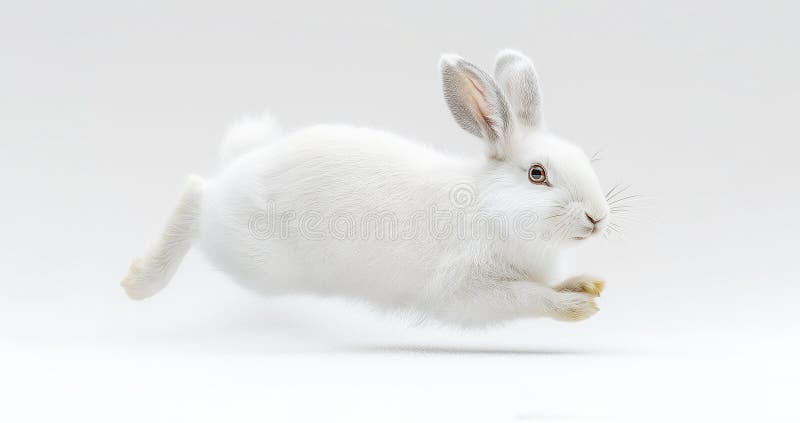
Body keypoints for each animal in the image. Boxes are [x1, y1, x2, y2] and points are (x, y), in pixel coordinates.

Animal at [121, 50, 612, 327]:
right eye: (537, 174)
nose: (597, 217)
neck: (490, 206)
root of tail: (237, 169)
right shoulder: (467, 291)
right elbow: (526, 297)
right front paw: (576, 310)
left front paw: (587, 286)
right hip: (247, 255)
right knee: (194, 193)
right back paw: (139, 282)